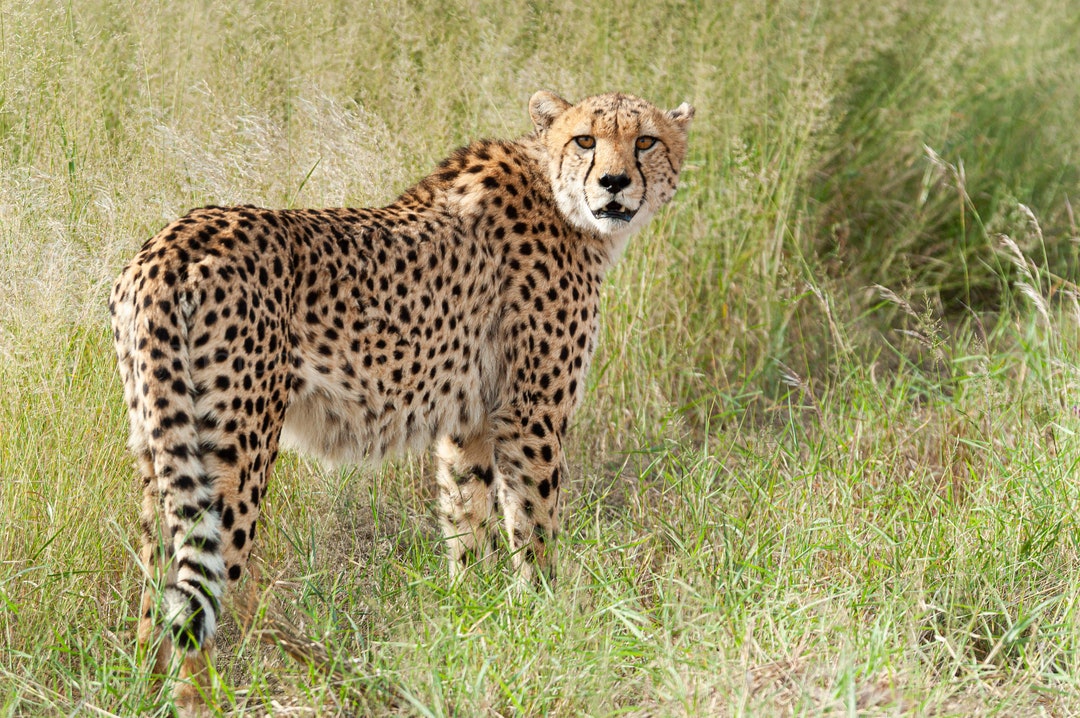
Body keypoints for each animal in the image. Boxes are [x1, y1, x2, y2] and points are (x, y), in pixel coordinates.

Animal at [109, 90, 694, 705]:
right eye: (585, 140)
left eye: (645, 141)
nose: (613, 181)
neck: (560, 198)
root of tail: (172, 243)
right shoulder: (530, 414)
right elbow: (534, 525)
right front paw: (544, 618)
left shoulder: (470, 422)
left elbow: (467, 521)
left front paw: (474, 619)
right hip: (234, 450)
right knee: (204, 596)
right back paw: (205, 697)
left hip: (158, 444)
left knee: (157, 589)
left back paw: (144, 689)